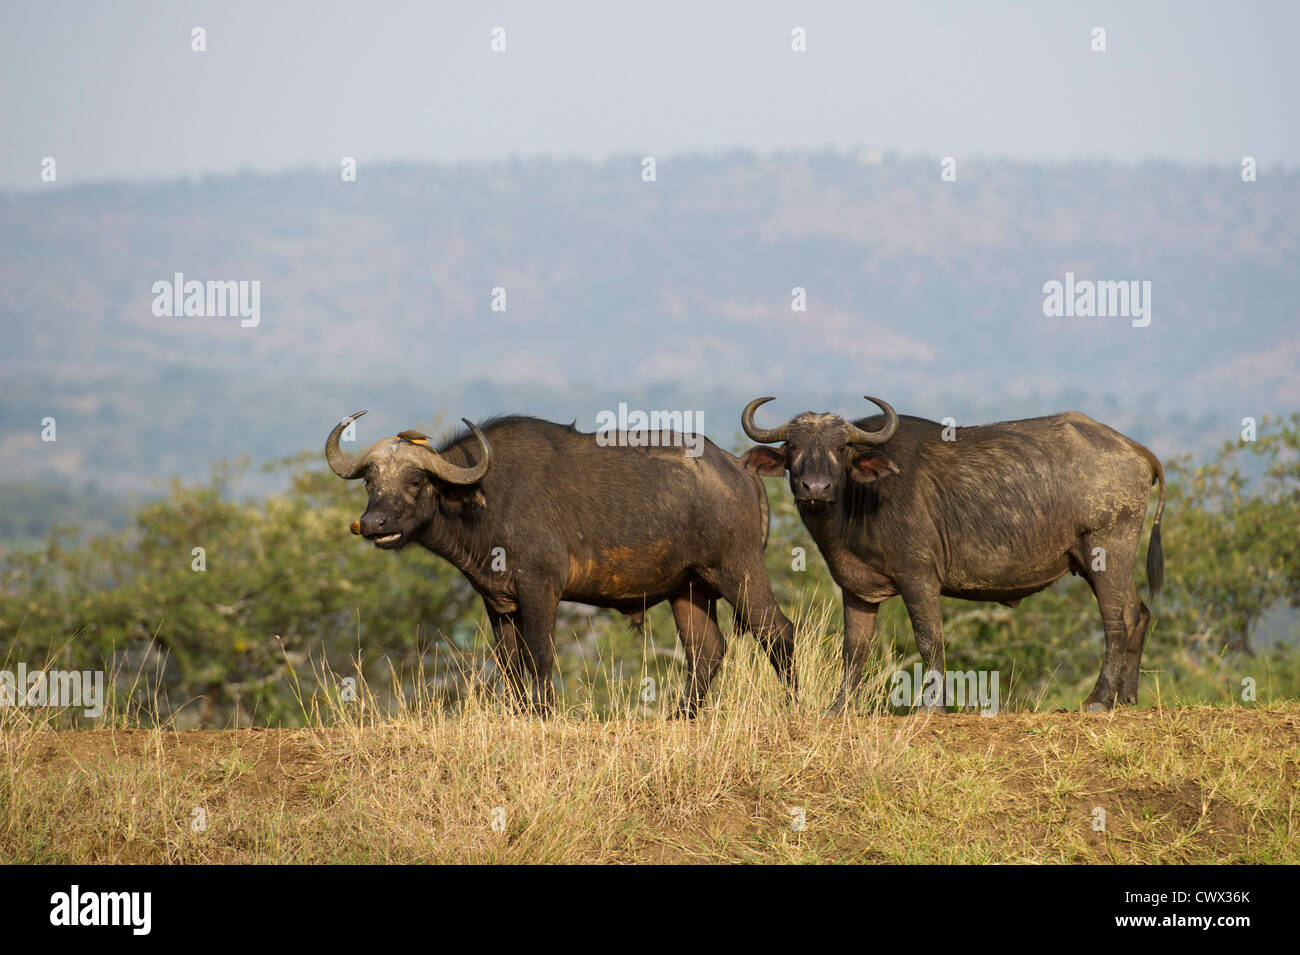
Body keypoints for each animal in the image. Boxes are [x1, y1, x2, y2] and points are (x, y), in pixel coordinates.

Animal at [326, 412, 795, 715]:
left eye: (415, 480)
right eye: (370, 482)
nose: (374, 523)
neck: (485, 499)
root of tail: (738, 467)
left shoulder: (540, 590)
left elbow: (540, 655)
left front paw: (544, 713)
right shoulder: (497, 602)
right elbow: (510, 664)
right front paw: (520, 714)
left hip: (738, 570)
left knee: (777, 631)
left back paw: (792, 706)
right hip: (689, 590)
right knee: (706, 650)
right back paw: (681, 717)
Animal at [739, 396, 1165, 714]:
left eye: (840, 447)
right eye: (793, 446)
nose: (815, 487)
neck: (860, 500)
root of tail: (1135, 449)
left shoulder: (919, 578)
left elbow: (930, 638)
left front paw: (932, 705)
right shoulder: (857, 589)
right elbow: (854, 648)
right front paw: (837, 708)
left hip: (1106, 550)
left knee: (1116, 622)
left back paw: (1099, 700)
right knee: (1138, 612)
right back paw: (1126, 696)